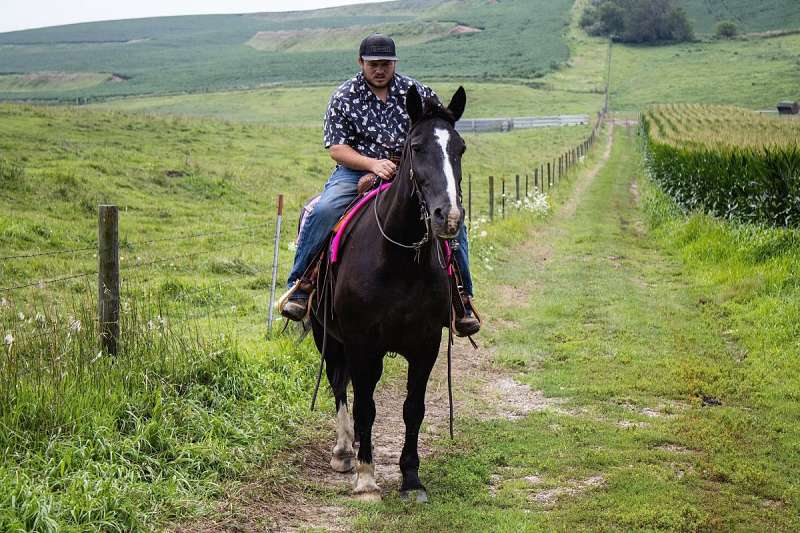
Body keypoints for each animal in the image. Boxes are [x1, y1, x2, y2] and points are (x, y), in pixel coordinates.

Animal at [310, 84, 468, 503]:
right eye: (416, 146)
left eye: (460, 148)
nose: (449, 217)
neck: (398, 260)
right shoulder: (361, 341)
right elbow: (365, 406)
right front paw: (366, 478)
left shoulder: (425, 344)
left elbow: (413, 408)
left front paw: (411, 478)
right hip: (328, 337)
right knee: (339, 384)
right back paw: (345, 452)